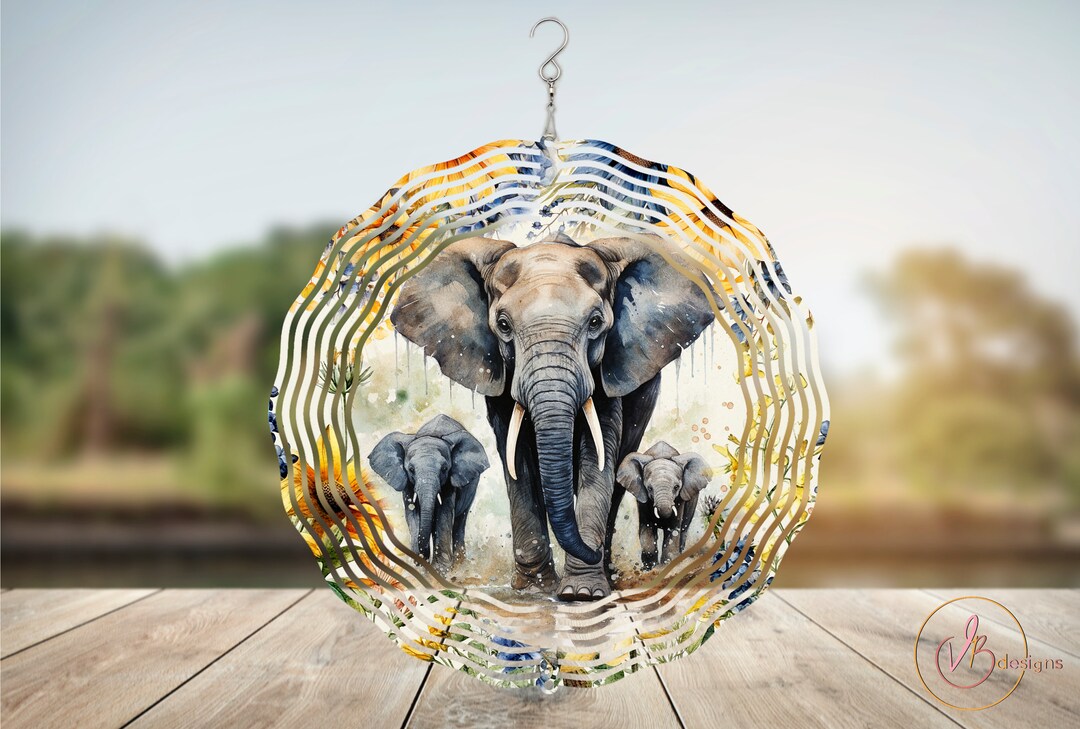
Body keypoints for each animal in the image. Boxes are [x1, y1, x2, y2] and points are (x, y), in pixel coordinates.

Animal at [367, 415, 489, 573]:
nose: (423, 557)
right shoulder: (407, 482)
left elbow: (443, 513)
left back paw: (459, 564)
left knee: (460, 519)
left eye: (444, 469)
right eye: (411, 469)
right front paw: (420, 567)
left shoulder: (450, 481)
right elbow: (412, 512)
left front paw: (441, 570)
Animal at [390, 234, 714, 600]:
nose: (590, 550)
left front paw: (582, 593)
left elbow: (599, 452)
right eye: (503, 325)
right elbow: (517, 454)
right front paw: (534, 589)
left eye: (595, 323)